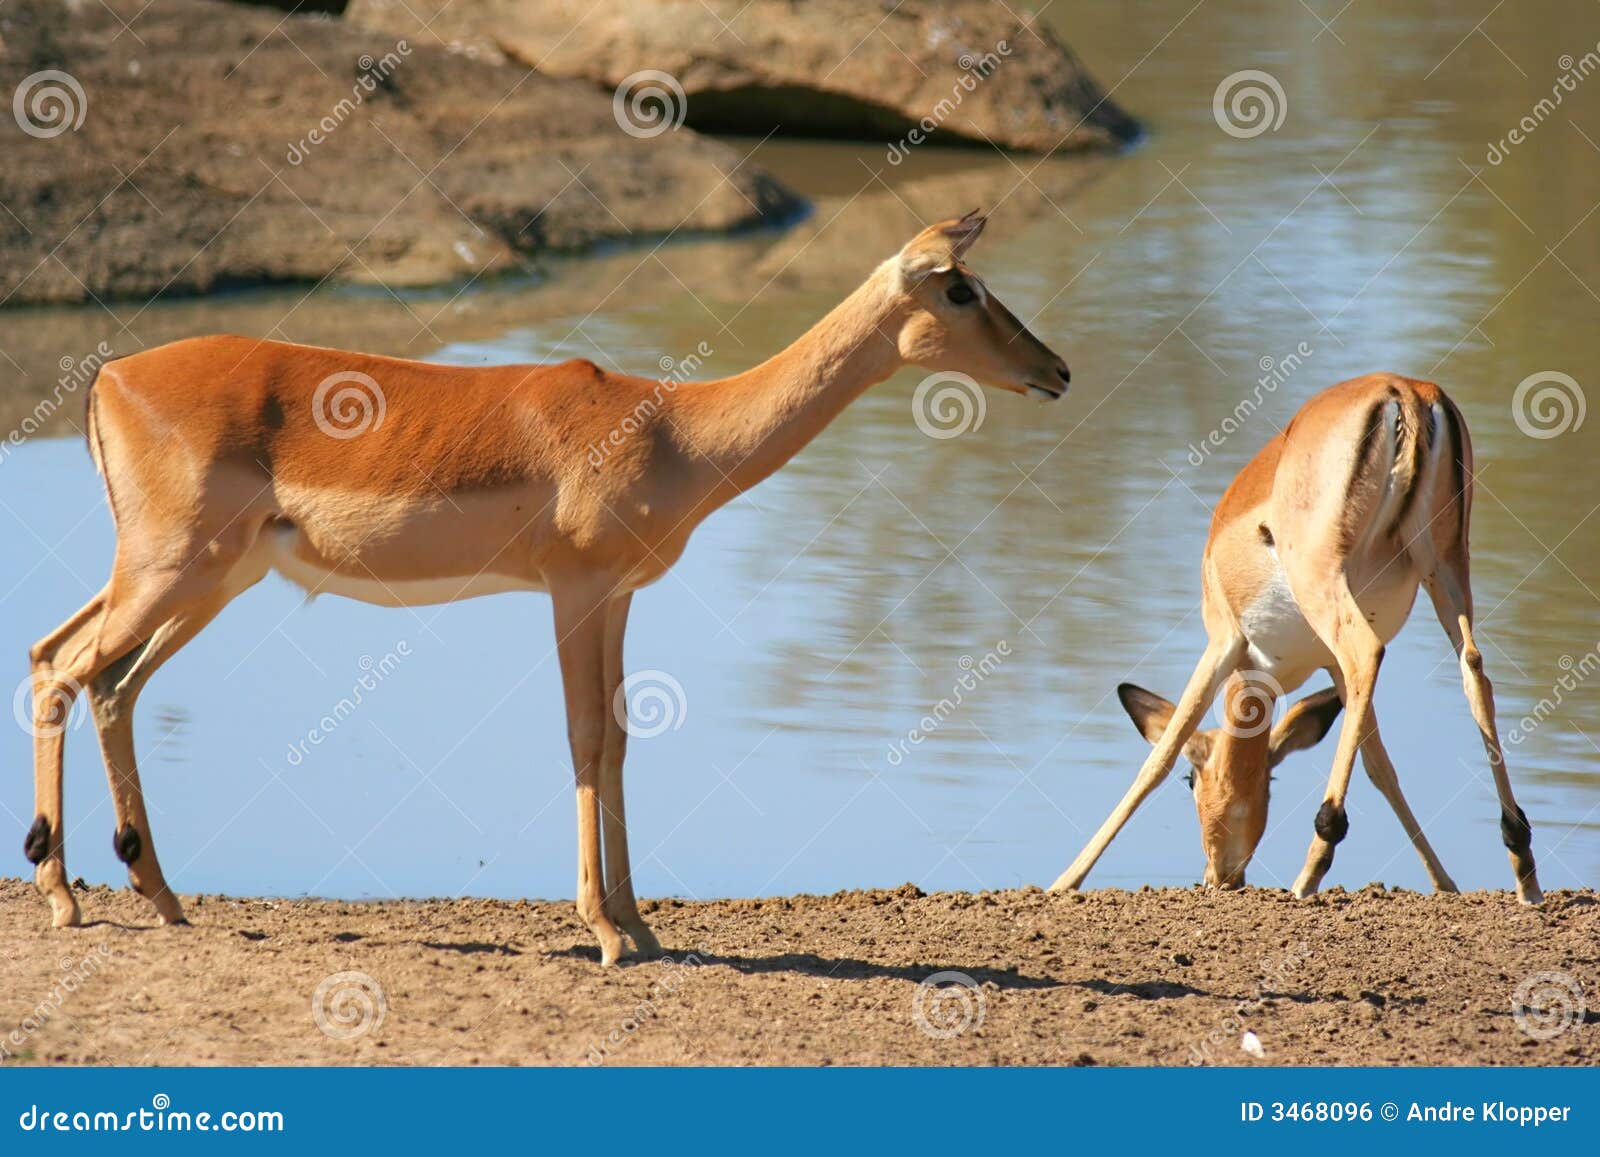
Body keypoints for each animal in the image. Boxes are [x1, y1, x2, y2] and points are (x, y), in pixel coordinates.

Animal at [25, 212, 1071, 965]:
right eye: (961, 286)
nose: (1056, 368)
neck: (677, 430)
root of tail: (111, 374)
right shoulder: (572, 590)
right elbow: (581, 738)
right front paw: (604, 932)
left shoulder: (618, 596)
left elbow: (618, 738)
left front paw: (642, 926)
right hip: (172, 568)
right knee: (64, 668)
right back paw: (65, 896)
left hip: (207, 577)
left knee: (93, 673)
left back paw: (161, 898)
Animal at [1049, 374, 1543, 904]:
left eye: (1191, 778)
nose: (1222, 876)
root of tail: (1405, 391)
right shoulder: (1330, 667)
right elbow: (1380, 766)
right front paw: (1445, 884)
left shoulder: (1224, 643)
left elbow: (1157, 758)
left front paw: (1064, 881)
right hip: (1447, 571)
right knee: (1474, 669)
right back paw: (1523, 865)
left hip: (1328, 585)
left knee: (1372, 652)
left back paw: (1311, 869)